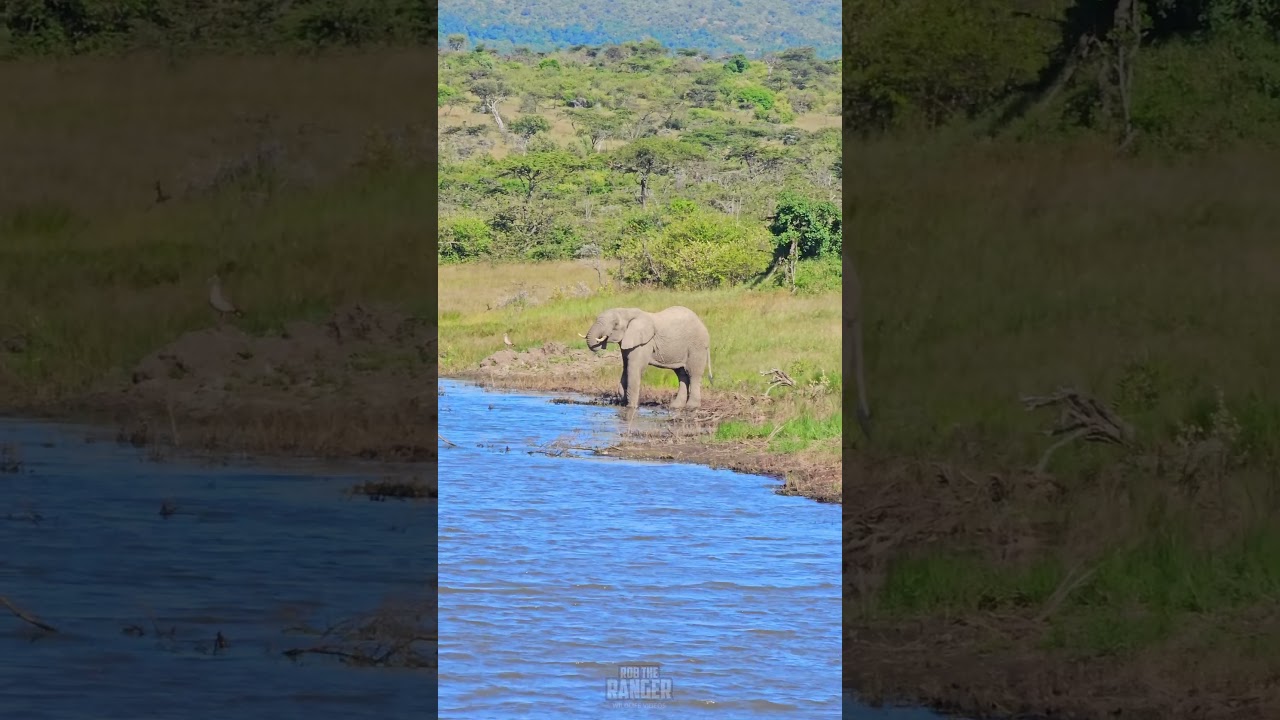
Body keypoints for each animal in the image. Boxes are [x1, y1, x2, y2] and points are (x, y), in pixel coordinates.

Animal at [581, 306, 713, 410]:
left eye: (615, 324)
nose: (601, 343)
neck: (627, 311)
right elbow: (626, 366)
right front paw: (623, 398)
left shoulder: (644, 343)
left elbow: (634, 368)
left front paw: (631, 407)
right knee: (681, 374)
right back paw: (675, 407)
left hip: (697, 346)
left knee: (693, 374)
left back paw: (691, 407)